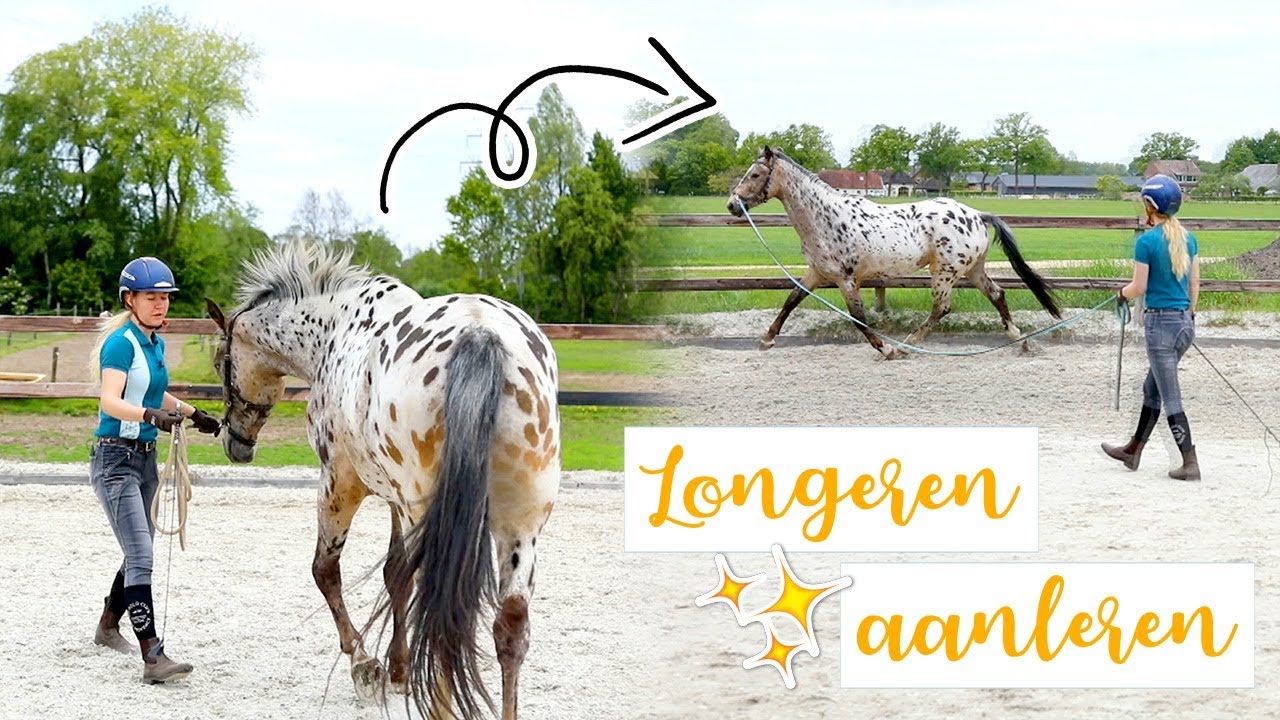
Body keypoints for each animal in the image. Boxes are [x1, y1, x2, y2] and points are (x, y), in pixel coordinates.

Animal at [206, 242, 560, 720]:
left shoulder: (340, 483)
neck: (335, 329)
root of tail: (479, 335)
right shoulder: (397, 502)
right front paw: (397, 666)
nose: (234, 443)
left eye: (220, 364)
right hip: (519, 524)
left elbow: (326, 571)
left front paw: (366, 665)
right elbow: (396, 574)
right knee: (510, 623)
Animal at [728, 147, 1062, 358]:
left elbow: (858, 318)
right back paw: (1020, 342)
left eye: (755, 175)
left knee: (941, 309)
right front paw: (766, 341)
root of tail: (978, 215)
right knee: (997, 294)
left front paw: (885, 349)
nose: (732, 205)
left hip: (945, 272)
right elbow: (790, 302)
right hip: (972, 269)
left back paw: (904, 347)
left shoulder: (847, 280)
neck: (825, 217)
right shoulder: (817, 274)